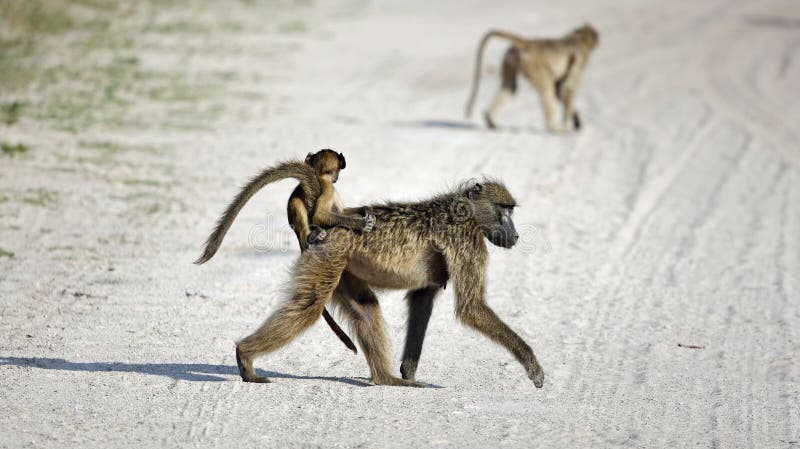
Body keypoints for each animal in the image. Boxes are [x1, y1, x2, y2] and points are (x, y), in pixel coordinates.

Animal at [206, 174, 546, 388]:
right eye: (504, 209)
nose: (515, 235)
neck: (465, 210)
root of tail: (332, 219)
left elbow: (421, 301)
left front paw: (408, 372)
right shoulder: (467, 241)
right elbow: (471, 308)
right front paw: (532, 365)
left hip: (342, 268)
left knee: (366, 309)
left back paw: (388, 379)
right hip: (331, 254)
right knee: (308, 307)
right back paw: (245, 357)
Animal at [464, 24, 599, 132]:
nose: (598, 41)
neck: (577, 39)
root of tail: (529, 43)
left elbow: (559, 90)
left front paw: (577, 119)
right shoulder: (580, 57)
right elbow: (567, 88)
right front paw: (567, 124)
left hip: (510, 59)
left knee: (510, 87)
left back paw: (490, 118)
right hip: (533, 66)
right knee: (546, 90)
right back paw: (553, 128)